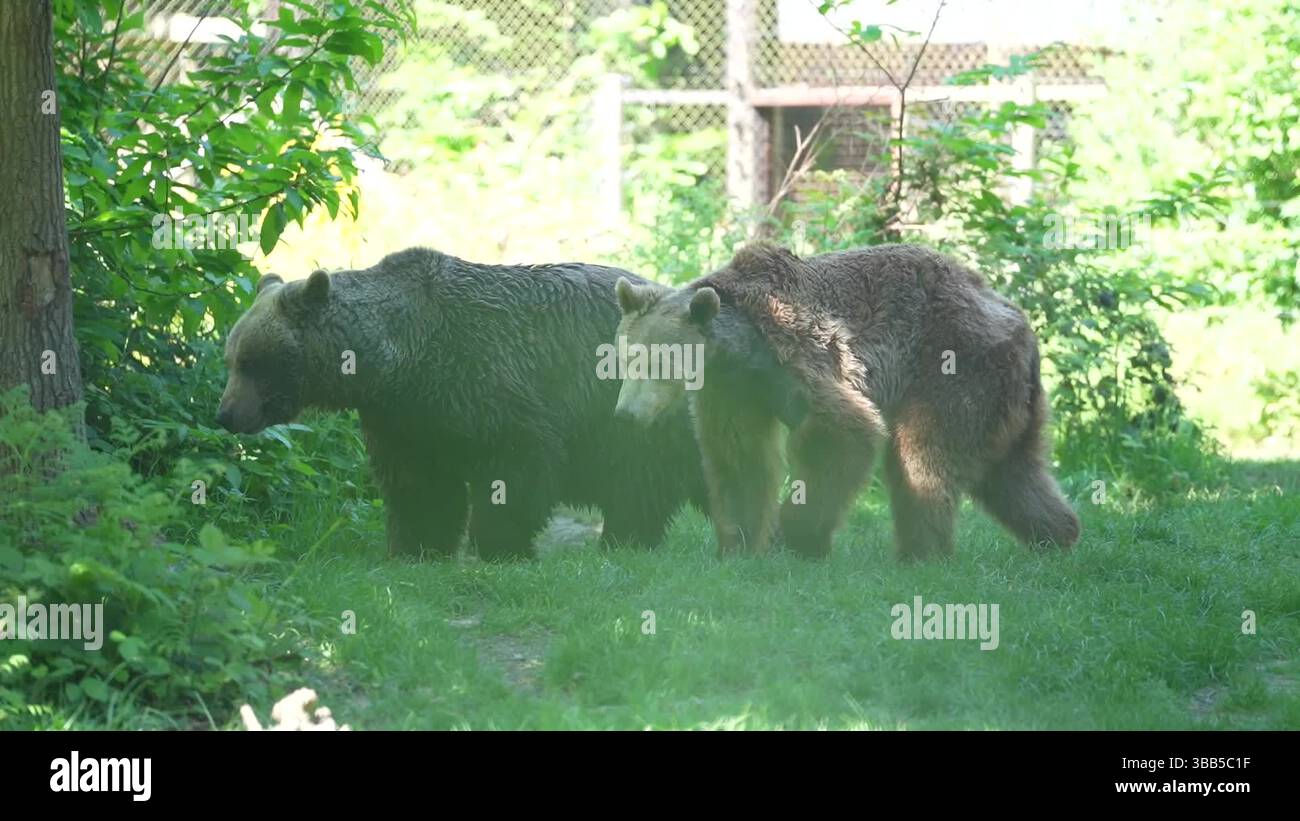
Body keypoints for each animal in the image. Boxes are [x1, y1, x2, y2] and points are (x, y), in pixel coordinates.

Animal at [217, 247, 709, 560]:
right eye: (232, 357)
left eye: (252, 362)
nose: (226, 414)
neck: (399, 361)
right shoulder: (403, 418)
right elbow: (419, 484)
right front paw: (417, 546)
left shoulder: (489, 382)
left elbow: (515, 468)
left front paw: (500, 545)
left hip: (639, 414)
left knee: (640, 482)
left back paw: (624, 540)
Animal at [612, 242, 1081, 561]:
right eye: (625, 356)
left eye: (660, 361)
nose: (626, 415)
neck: (740, 349)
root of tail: (1014, 315)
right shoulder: (736, 390)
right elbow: (741, 460)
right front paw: (739, 543)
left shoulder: (800, 353)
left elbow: (841, 434)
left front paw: (797, 536)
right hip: (1006, 399)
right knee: (1014, 472)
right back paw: (1058, 535)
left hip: (953, 365)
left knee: (923, 459)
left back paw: (921, 552)